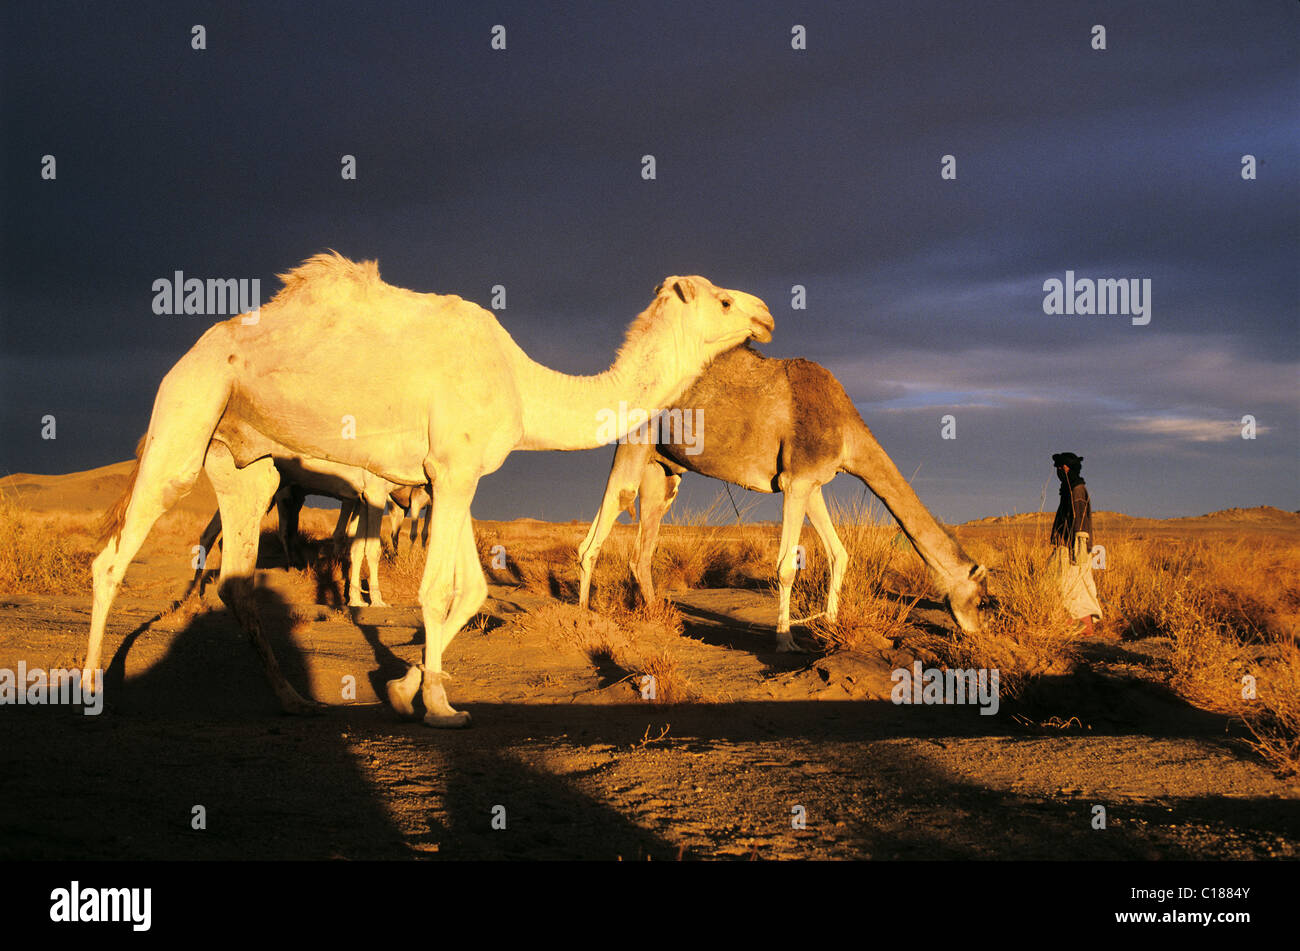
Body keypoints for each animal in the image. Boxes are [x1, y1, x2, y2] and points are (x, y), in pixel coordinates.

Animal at [87, 252, 774, 727]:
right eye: (722, 302)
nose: (765, 314)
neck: (525, 386)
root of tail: (190, 355)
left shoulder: (452, 478)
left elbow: (472, 590)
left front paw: (402, 689)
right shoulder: (451, 469)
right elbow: (436, 589)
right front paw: (441, 707)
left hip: (244, 463)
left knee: (237, 580)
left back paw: (294, 701)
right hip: (186, 413)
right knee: (112, 559)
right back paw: (93, 692)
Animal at [576, 344, 987, 649]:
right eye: (981, 598)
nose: (977, 631)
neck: (846, 430)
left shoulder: (814, 482)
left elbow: (839, 553)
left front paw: (831, 625)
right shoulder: (796, 481)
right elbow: (786, 566)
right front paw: (785, 640)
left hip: (663, 469)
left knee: (642, 551)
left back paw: (661, 619)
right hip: (633, 441)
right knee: (596, 533)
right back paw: (584, 618)